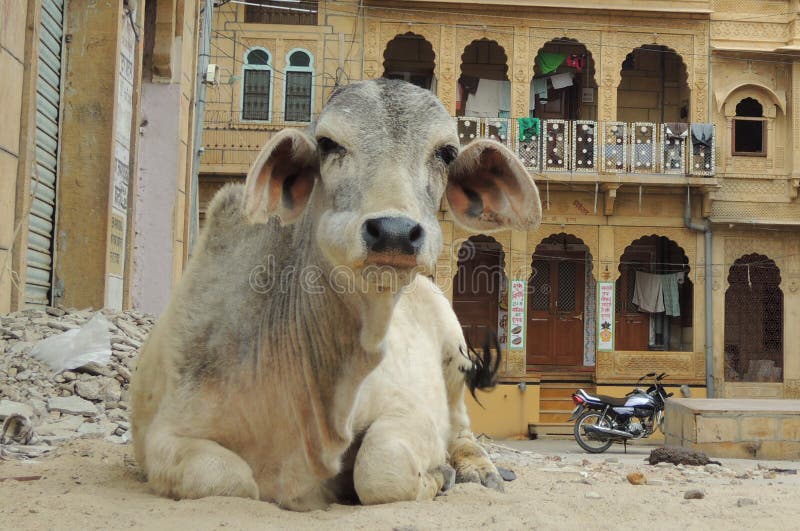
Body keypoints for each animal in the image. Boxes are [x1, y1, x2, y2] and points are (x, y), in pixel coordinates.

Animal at [130, 78, 541, 510]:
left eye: (445, 153)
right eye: (328, 144)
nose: (394, 232)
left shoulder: (408, 410)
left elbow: (380, 468)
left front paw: (438, 475)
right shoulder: (164, 436)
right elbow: (228, 479)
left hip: (454, 350)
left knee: (461, 428)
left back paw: (476, 469)